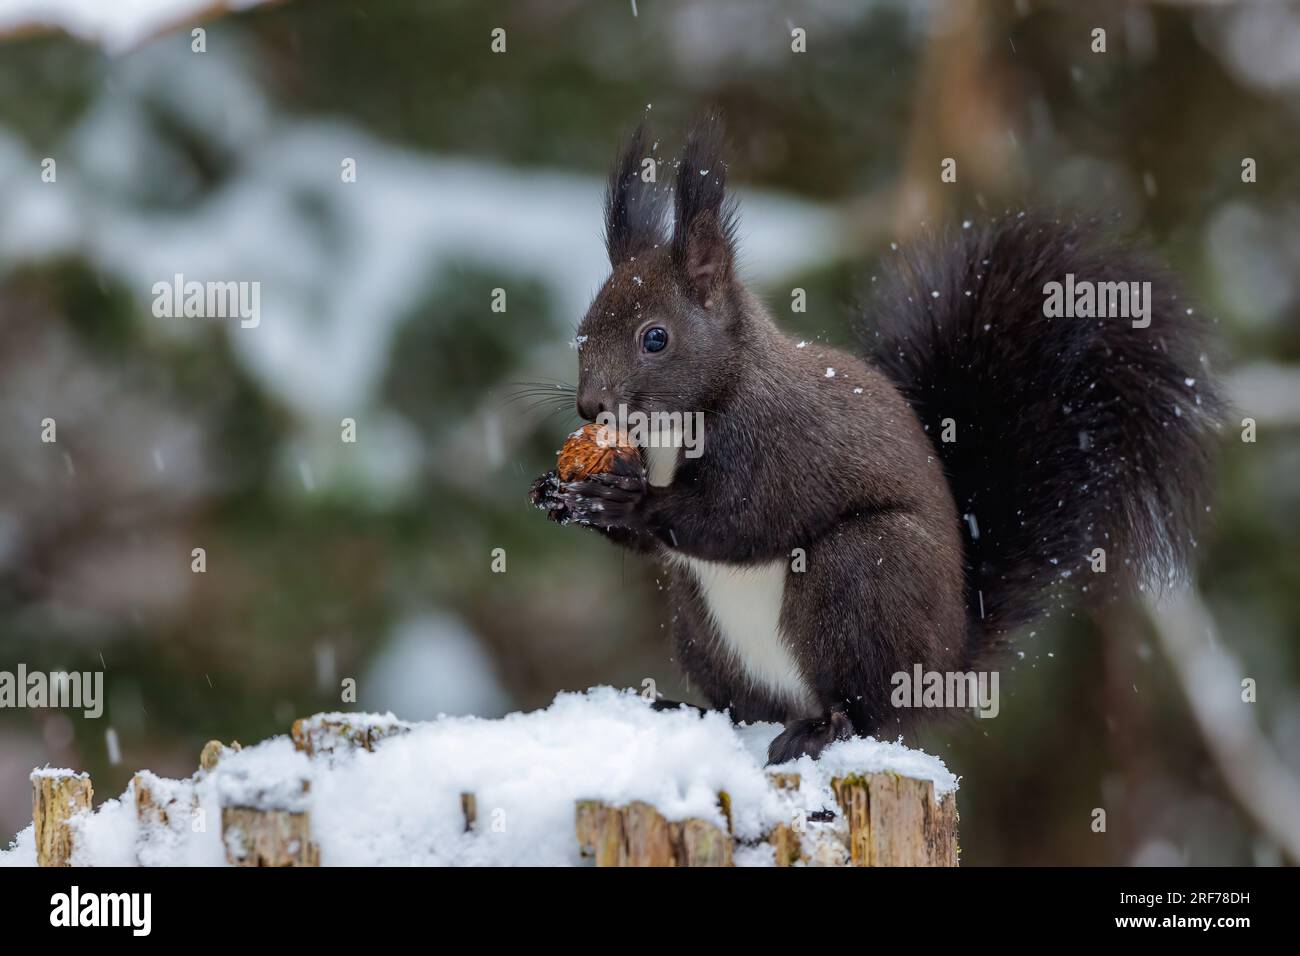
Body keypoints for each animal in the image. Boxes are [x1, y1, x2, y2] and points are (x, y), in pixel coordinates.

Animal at [530, 116, 1224, 763]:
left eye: (656, 337)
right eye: (584, 328)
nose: (591, 405)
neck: (680, 425)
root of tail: (944, 670)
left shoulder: (782, 442)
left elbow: (741, 518)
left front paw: (630, 500)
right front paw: (558, 494)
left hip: (864, 575)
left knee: (865, 708)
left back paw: (821, 728)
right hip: (701, 623)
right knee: (746, 705)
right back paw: (699, 710)